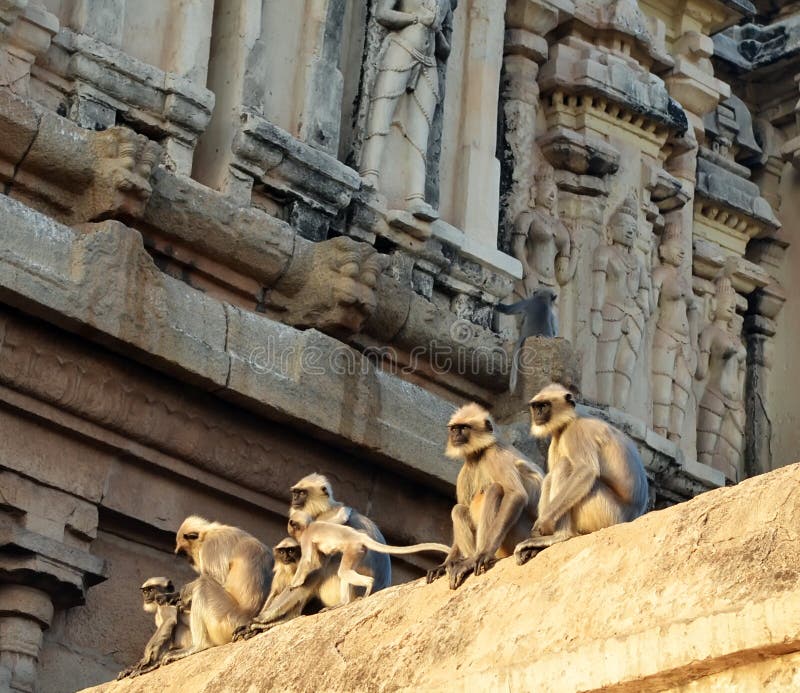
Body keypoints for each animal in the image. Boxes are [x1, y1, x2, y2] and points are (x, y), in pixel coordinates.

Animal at [163, 516, 272, 661]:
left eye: (185, 553)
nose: (190, 561)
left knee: (203, 585)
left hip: (227, 620)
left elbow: (218, 580)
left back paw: (198, 646)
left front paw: (184, 594)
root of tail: (250, 617)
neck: (208, 532)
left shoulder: (211, 547)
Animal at [234, 474, 391, 639]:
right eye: (295, 492)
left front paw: (258, 621)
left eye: (302, 493)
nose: (295, 499)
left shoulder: (324, 521)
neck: (326, 508)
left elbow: (311, 571)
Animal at [288, 511, 450, 605]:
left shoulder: (306, 537)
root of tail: (359, 536)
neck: (310, 525)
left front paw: (294, 584)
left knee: (343, 572)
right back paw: (343, 603)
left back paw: (367, 586)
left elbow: (308, 561)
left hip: (353, 549)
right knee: (344, 574)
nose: (294, 535)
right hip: (359, 552)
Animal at [427, 402, 544, 590]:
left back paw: (477, 557)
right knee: (459, 509)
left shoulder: (495, 454)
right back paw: (466, 560)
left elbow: (516, 494)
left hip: (520, 535)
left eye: (463, 428)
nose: (455, 435)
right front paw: (444, 565)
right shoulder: (466, 469)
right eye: (454, 428)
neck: (479, 454)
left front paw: (484, 554)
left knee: (495, 489)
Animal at [514, 383, 649, 566]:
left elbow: (586, 471)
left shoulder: (576, 431)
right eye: (536, 406)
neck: (570, 419)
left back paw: (560, 536)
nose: (538, 414)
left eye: (544, 406)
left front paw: (543, 524)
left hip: (606, 512)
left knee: (565, 466)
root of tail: (631, 517)